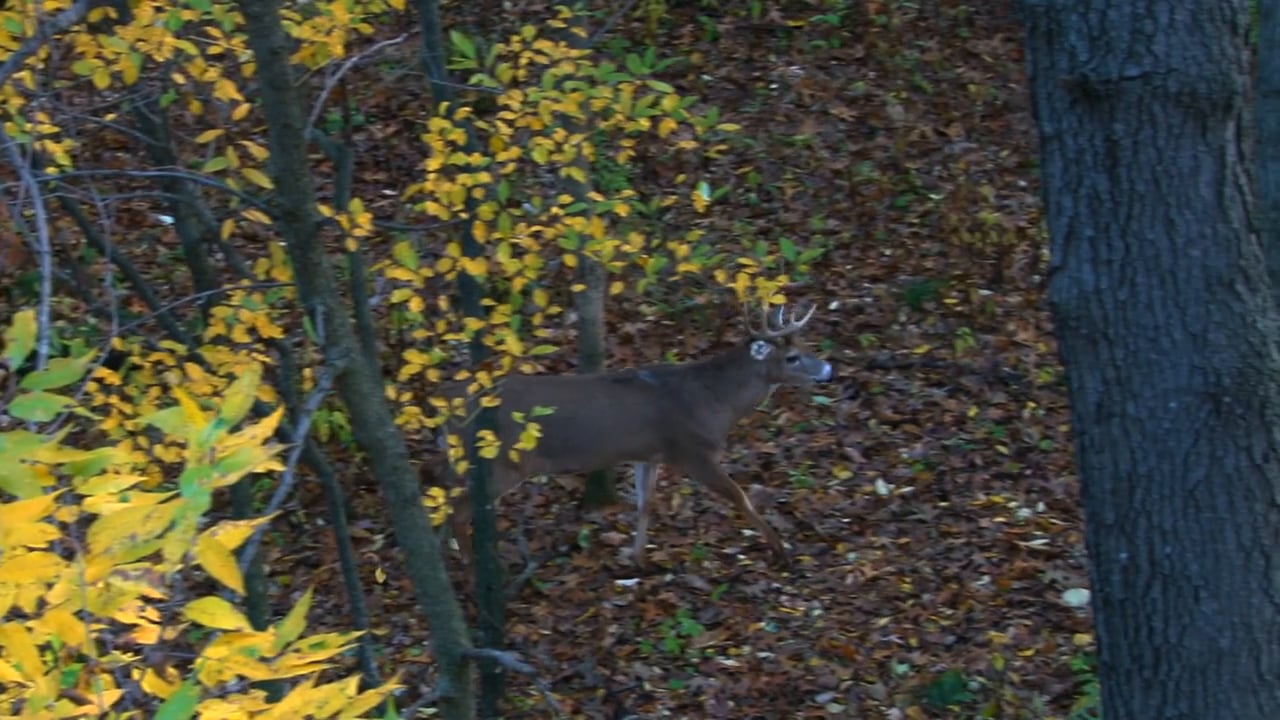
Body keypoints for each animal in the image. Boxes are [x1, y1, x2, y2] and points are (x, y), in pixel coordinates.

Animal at [425, 302, 833, 569]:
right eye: (792, 357)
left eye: (805, 347)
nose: (827, 368)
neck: (714, 401)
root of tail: (446, 405)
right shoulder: (691, 451)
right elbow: (740, 497)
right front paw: (781, 549)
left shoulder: (648, 454)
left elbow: (644, 504)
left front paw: (635, 558)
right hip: (503, 461)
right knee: (458, 509)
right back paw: (470, 567)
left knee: (441, 491)